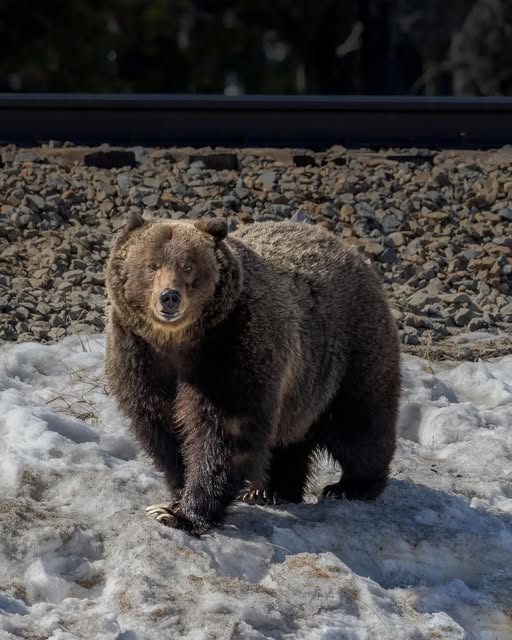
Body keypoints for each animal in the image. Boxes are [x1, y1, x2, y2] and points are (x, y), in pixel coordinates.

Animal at [105, 213, 400, 535]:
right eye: (152, 265)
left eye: (188, 265)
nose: (169, 297)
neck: (177, 343)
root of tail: (353, 253)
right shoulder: (141, 358)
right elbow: (164, 431)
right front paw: (175, 497)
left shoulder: (233, 350)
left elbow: (224, 433)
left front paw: (183, 513)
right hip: (300, 388)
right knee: (290, 439)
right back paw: (270, 490)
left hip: (350, 352)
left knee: (359, 421)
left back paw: (350, 486)